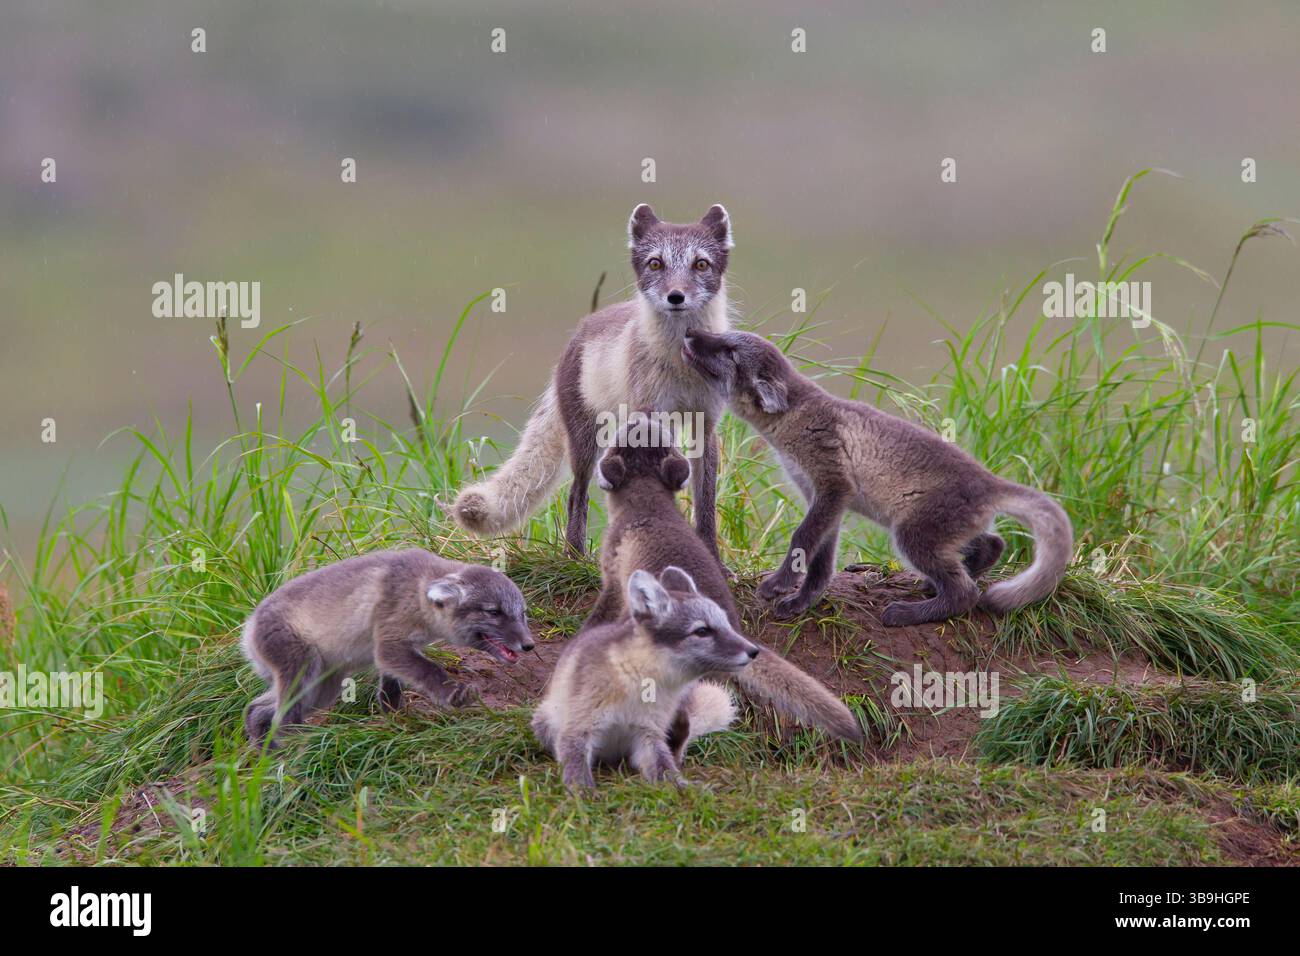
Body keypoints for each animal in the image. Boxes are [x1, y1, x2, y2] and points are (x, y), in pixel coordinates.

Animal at [240, 548, 534, 747]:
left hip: (322, 688)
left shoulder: (394, 649)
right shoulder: (390, 644)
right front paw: (455, 694)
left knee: (257, 709)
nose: (529, 645)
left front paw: (396, 718)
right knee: (281, 719)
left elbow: (390, 689)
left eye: (522, 614)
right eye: (493, 612)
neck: (417, 589)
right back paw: (298, 745)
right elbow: (429, 669)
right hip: (304, 674)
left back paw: (265, 751)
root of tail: (248, 628)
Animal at [451, 203, 734, 560]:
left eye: (701, 264)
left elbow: (705, 500)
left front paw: (712, 555)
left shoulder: (706, 422)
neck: (679, 363)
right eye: (656, 263)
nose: (676, 296)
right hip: (586, 441)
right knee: (577, 494)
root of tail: (577, 335)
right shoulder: (651, 416)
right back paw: (574, 556)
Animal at [532, 566, 758, 791]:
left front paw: (683, 788)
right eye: (702, 631)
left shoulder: (649, 734)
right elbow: (575, 766)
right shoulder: (578, 727)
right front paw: (584, 794)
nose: (754, 651)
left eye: (726, 624)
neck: (637, 682)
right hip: (544, 722)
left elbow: (664, 767)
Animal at [681, 329, 1074, 626]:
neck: (796, 416)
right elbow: (821, 562)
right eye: (724, 338)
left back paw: (908, 613)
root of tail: (991, 483)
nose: (690, 333)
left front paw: (779, 584)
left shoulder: (833, 485)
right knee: (993, 544)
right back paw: (939, 582)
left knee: (966, 594)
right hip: (945, 532)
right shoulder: (823, 498)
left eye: (730, 352)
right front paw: (801, 602)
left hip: (912, 535)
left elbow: (802, 538)